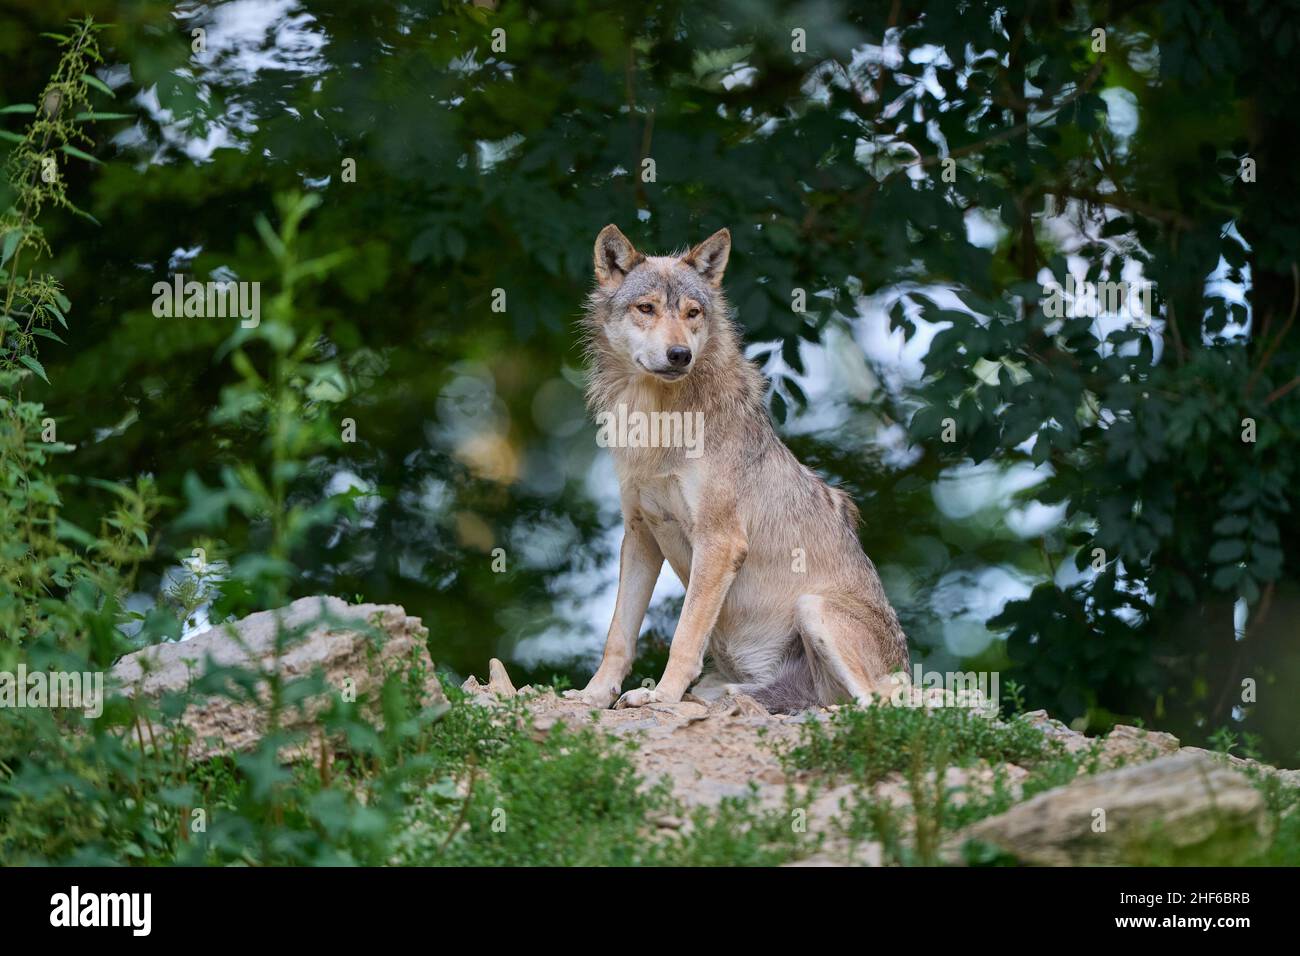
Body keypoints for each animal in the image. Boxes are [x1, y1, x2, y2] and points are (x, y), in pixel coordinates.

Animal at [566, 224, 910, 712]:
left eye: (692, 313)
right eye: (646, 308)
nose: (679, 354)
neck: (660, 422)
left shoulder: (720, 541)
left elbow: (685, 635)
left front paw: (662, 696)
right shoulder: (640, 536)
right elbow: (619, 636)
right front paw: (594, 695)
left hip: (814, 607)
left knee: (882, 703)